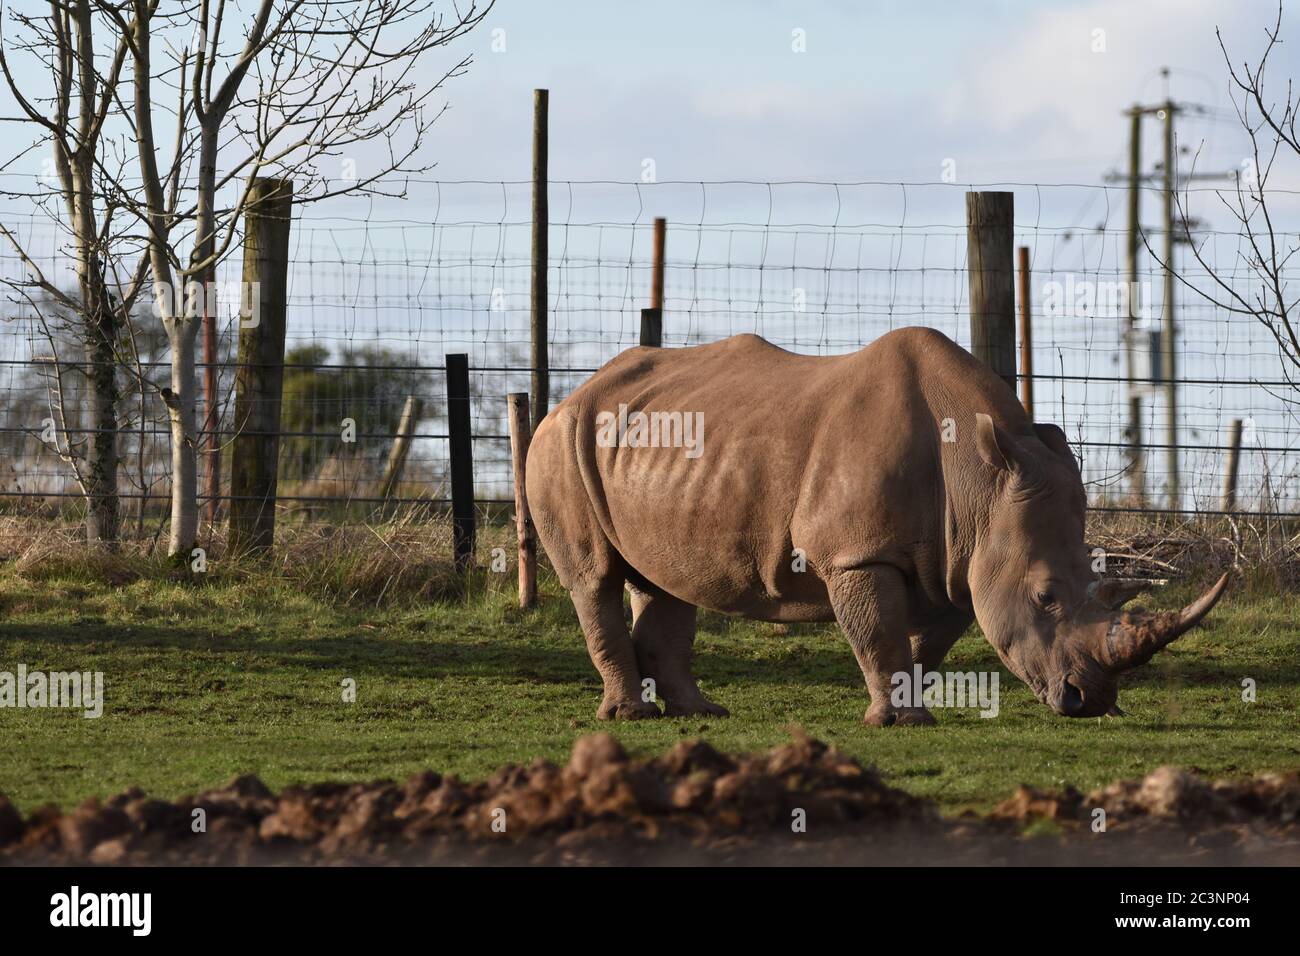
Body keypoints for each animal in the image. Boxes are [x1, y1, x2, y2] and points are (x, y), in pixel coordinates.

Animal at [525, 327, 1229, 725]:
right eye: (1045, 598)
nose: (1092, 700)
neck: (980, 482)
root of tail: (571, 394)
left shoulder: (959, 560)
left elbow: (922, 644)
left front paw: (910, 710)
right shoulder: (857, 554)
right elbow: (879, 633)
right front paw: (898, 723)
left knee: (665, 581)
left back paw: (701, 713)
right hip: (561, 442)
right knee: (593, 578)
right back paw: (630, 718)